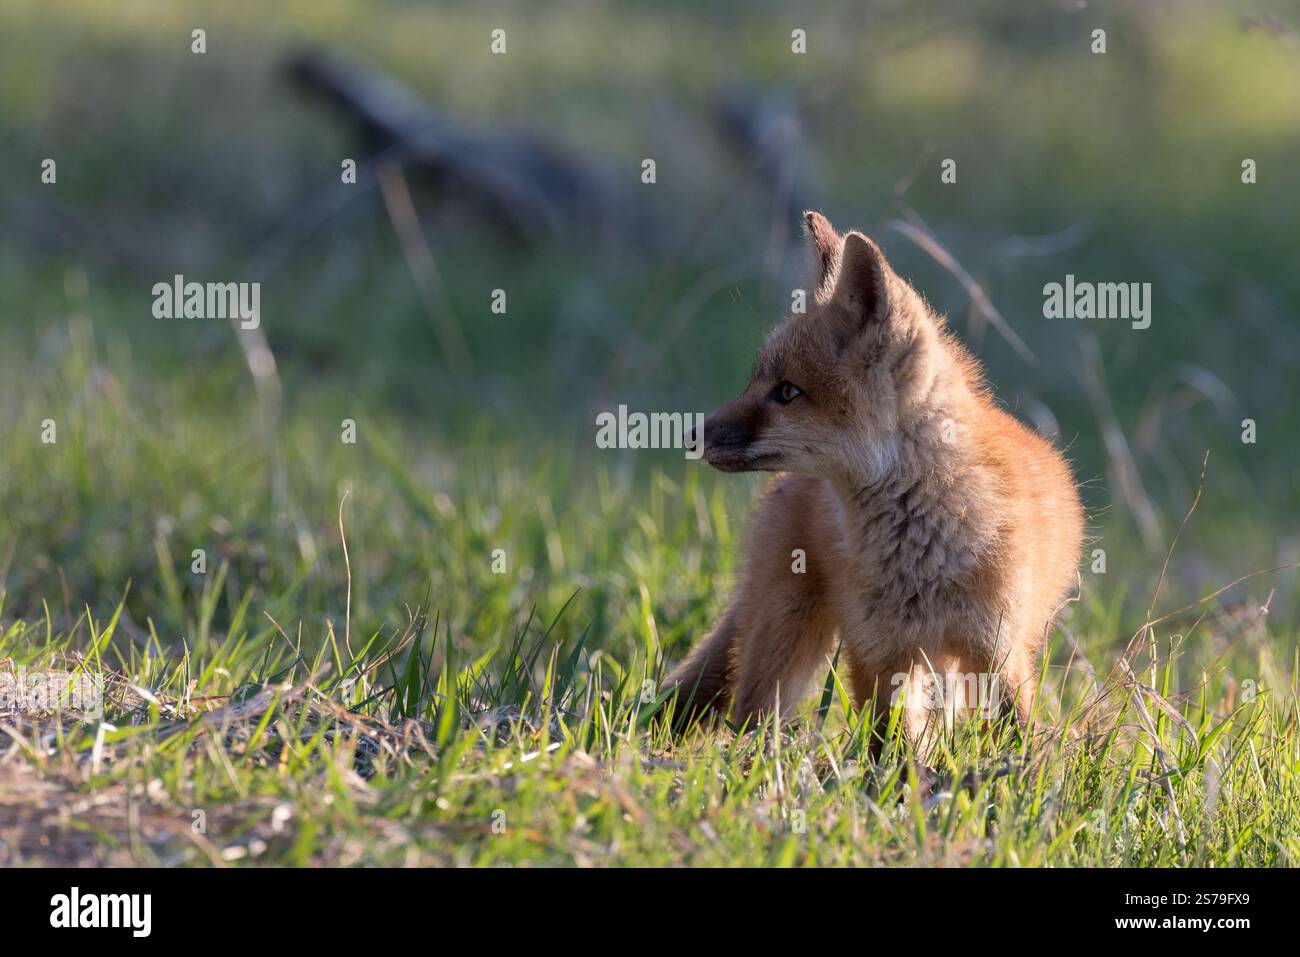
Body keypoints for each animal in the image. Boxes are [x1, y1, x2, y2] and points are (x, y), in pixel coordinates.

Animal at [665, 211, 1084, 753]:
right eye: (754, 381)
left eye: (787, 391)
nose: (692, 436)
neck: (924, 544)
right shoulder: (878, 652)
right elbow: (891, 745)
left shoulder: (997, 650)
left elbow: (1014, 733)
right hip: (784, 635)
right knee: (749, 717)